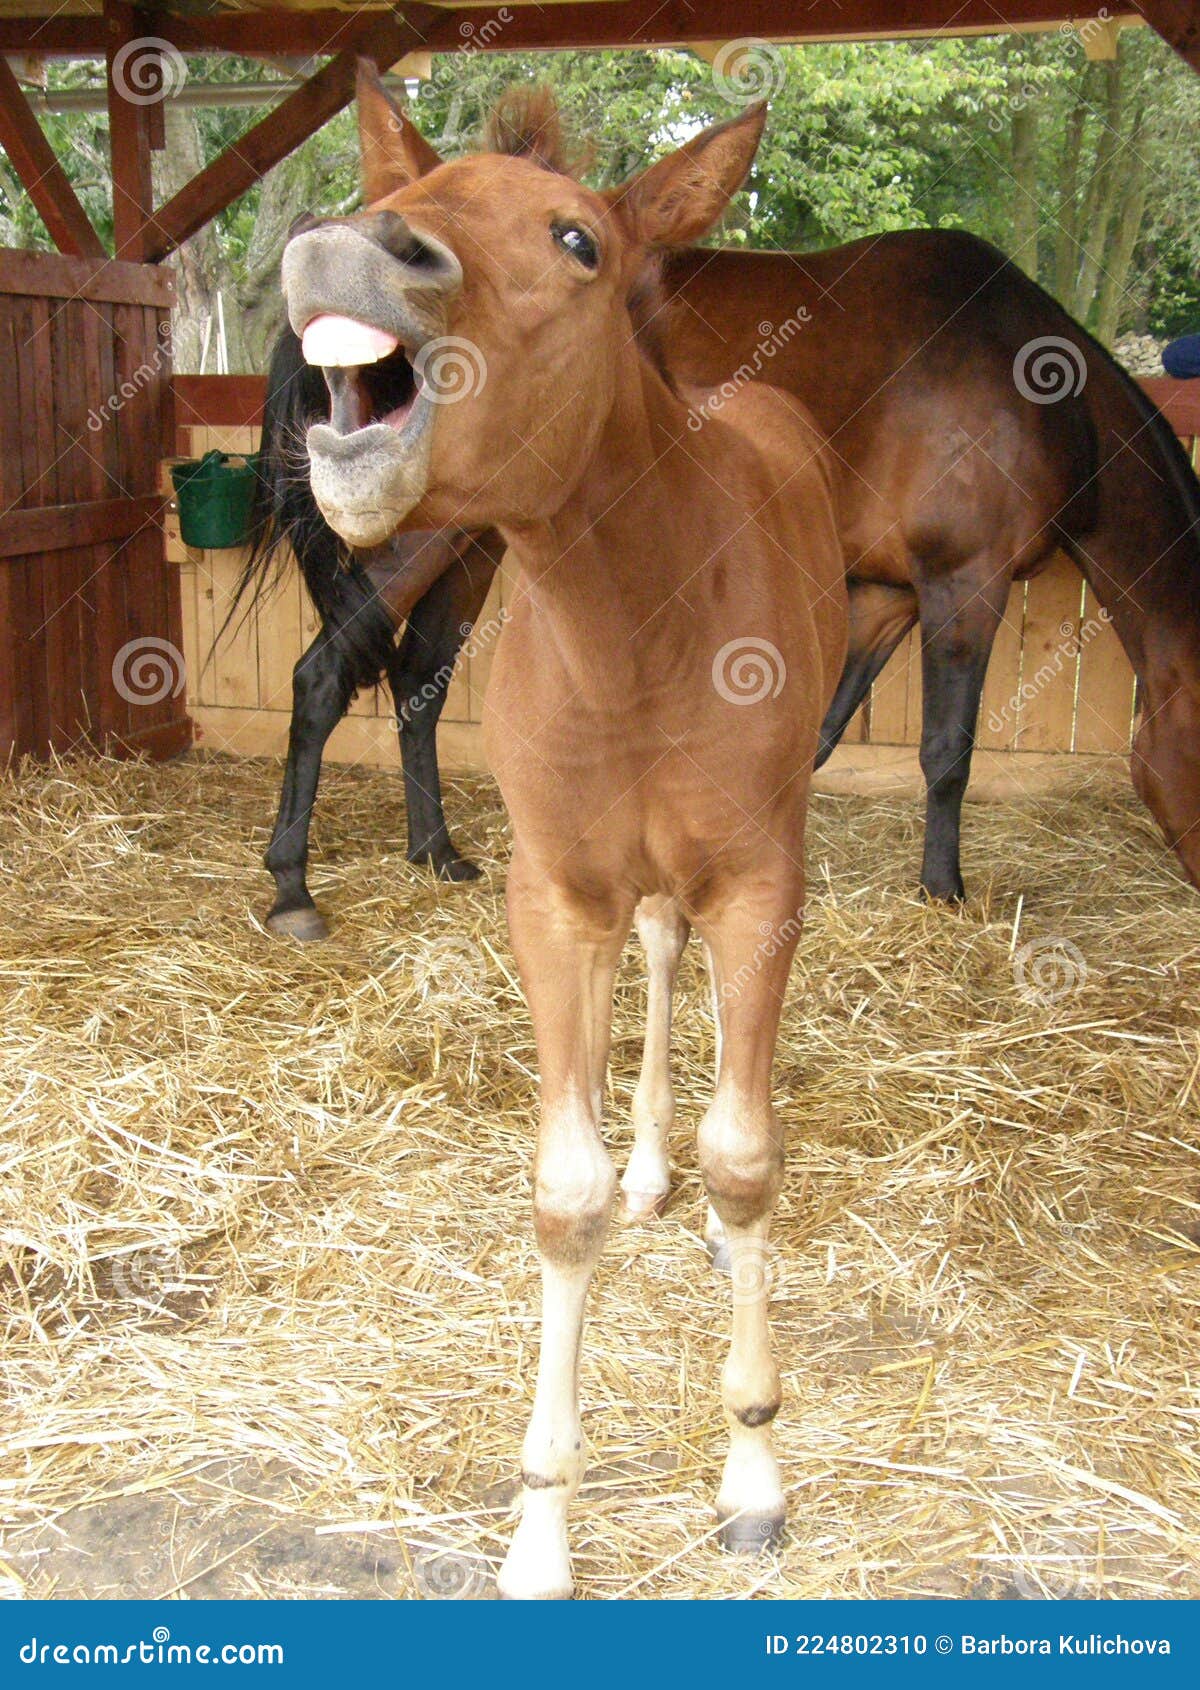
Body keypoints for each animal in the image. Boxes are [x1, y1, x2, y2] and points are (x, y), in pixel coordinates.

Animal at [245, 92, 1200, 936]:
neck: (1037, 389)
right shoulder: (964, 582)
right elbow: (947, 751)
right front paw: (944, 891)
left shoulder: (881, 596)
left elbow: (818, 735)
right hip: (407, 545)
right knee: (321, 679)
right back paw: (293, 885)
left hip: (471, 549)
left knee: (419, 685)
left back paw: (436, 852)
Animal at [281, 60, 847, 1600]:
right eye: (403, 194)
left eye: (578, 239)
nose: (348, 252)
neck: (636, 621)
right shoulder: (556, 898)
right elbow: (567, 1191)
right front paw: (541, 1523)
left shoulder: (763, 879)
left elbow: (749, 1155)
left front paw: (755, 1469)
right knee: (658, 956)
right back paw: (658, 1171)